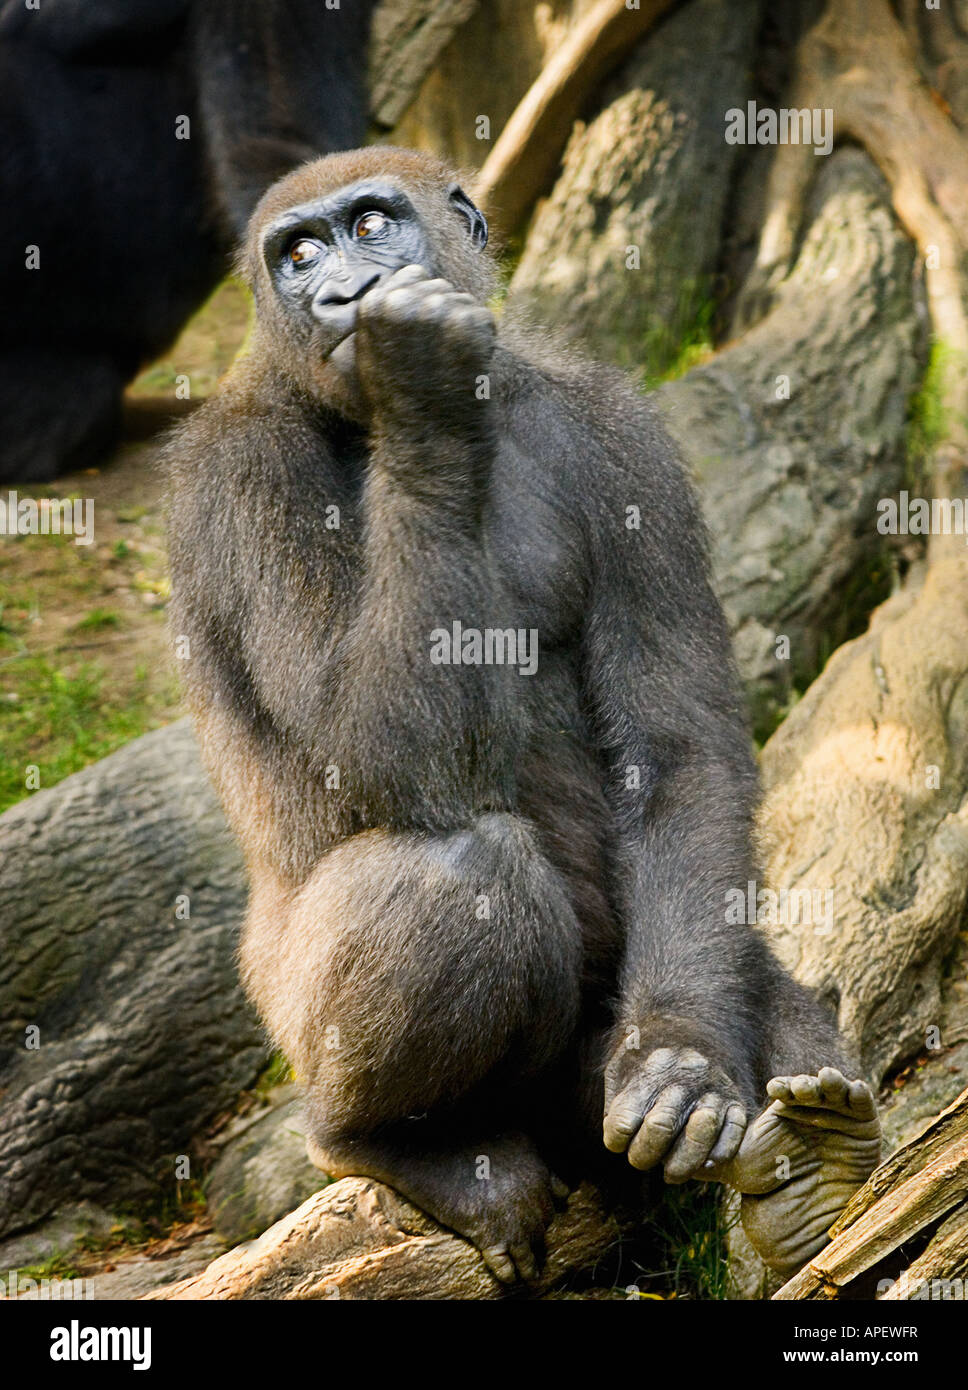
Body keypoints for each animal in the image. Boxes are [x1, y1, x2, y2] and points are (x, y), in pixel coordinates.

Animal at [166, 147, 881, 1286]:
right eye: (299, 255)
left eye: (370, 223)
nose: (338, 294)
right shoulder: (238, 474)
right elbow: (369, 750)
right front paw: (418, 383)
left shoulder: (620, 433)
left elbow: (674, 752)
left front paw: (679, 1060)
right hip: (294, 1024)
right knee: (465, 873)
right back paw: (387, 1142)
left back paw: (812, 1165)